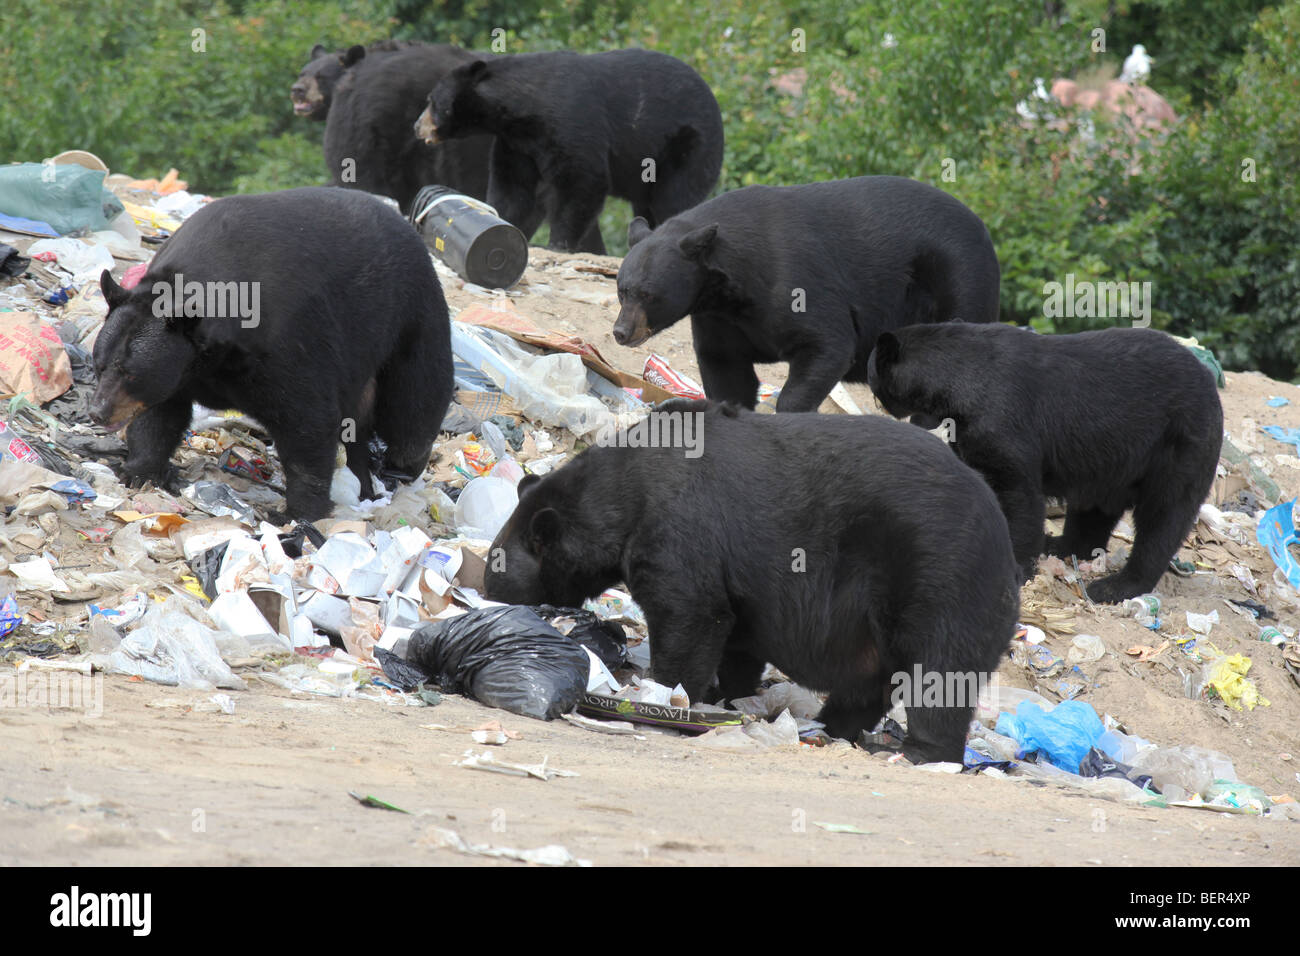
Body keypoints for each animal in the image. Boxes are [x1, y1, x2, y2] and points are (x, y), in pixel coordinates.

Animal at [90, 186, 453, 522]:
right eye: (100, 366)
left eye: (130, 373)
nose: (98, 412)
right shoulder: (181, 369)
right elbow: (160, 413)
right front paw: (139, 471)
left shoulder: (285, 342)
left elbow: (307, 422)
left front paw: (299, 512)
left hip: (411, 318)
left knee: (413, 408)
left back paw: (399, 470)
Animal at [415, 49, 724, 254]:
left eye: (431, 100)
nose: (417, 126)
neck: (522, 108)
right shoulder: (516, 142)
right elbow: (514, 186)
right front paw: (501, 219)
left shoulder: (570, 120)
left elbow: (582, 179)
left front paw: (557, 243)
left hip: (687, 148)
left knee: (675, 198)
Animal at [483, 400, 1020, 764]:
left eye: (494, 572)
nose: (484, 598)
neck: (624, 497)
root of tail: (1006, 541)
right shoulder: (744, 584)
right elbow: (736, 636)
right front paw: (727, 694)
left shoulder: (679, 528)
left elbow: (689, 616)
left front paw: (666, 695)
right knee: (872, 680)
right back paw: (830, 725)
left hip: (938, 574)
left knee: (941, 668)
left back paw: (921, 750)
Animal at [612, 176, 1001, 413]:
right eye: (622, 291)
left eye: (648, 294)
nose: (620, 332)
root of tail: (984, 230)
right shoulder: (716, 317)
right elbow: (725, 367)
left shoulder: (795, 280)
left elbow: (827, 343)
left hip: (961, 281)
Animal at [865, 323, 1224, 603]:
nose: (876, 400)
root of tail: (1210, 383)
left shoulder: (1000, 421)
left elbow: (1018, 494)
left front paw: (1015, 569)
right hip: (1110, 462)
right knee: (1094, 510)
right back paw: (1060, 544)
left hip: (1180, 444)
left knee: (1164, 516)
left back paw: (1113, 586)